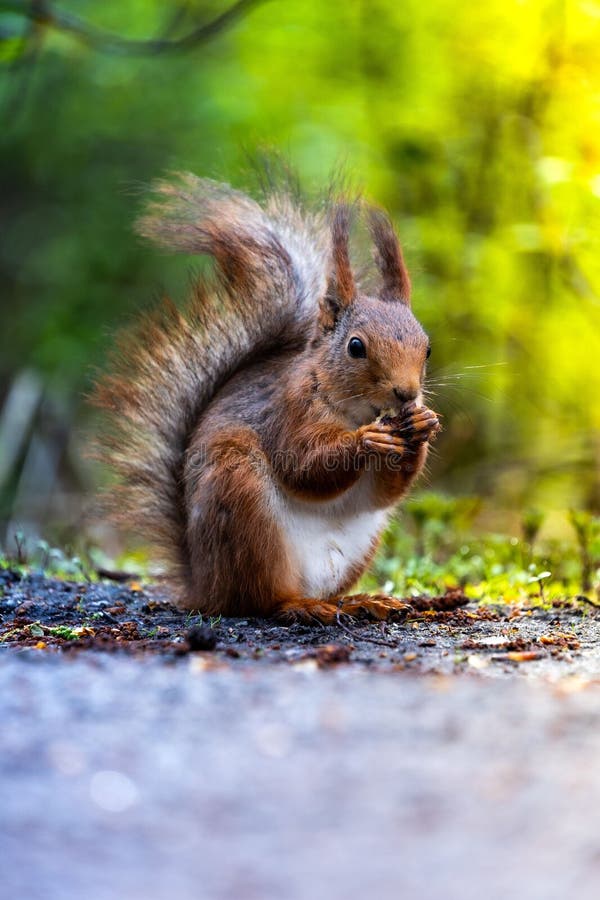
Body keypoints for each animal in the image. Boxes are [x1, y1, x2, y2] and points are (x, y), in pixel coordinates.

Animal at [93, 172, 441, 623]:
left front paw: (423, 423)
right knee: (260, 599)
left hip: (356, 545)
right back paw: (301, 606)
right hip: (240, 495)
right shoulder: (287, 410)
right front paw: (366, 440)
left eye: (427, 348)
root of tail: (204, 585)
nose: (407, 393)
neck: (354, 410)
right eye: (356, 347)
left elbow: (384, 492)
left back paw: (359, 601)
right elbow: (302, 465)